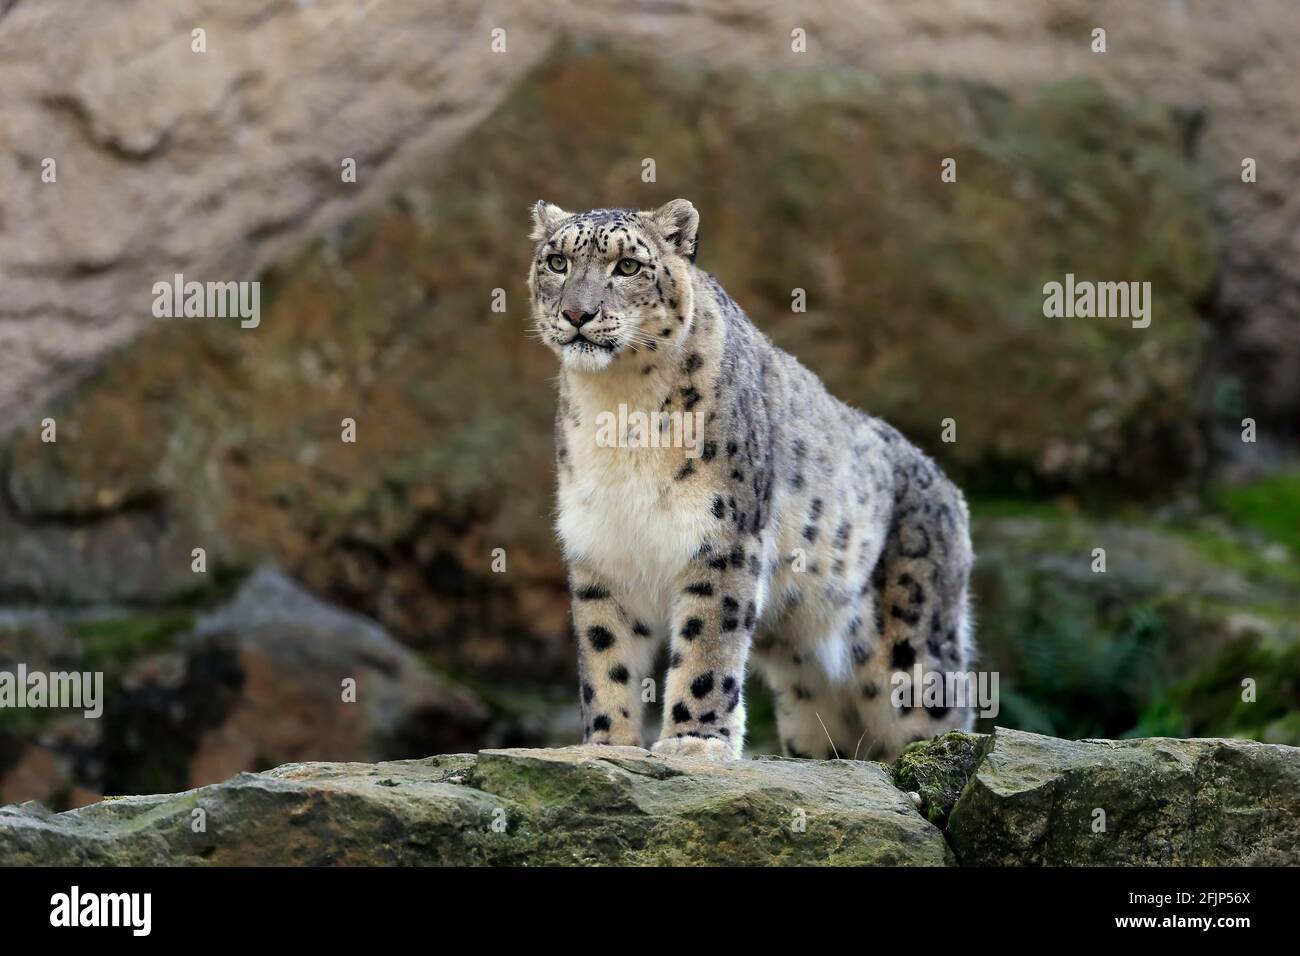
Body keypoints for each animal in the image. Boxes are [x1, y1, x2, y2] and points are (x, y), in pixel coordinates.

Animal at [528, 198, 976, 762]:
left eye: (627, 266)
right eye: (557, 262)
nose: (576, 314)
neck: (618, 407)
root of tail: (951, 493)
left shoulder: (723, 536)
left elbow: (707, 646)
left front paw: (693, 742)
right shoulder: (602, 546)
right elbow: (605, 654)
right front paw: (607, 744)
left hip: (912, 652)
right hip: (808, 689)